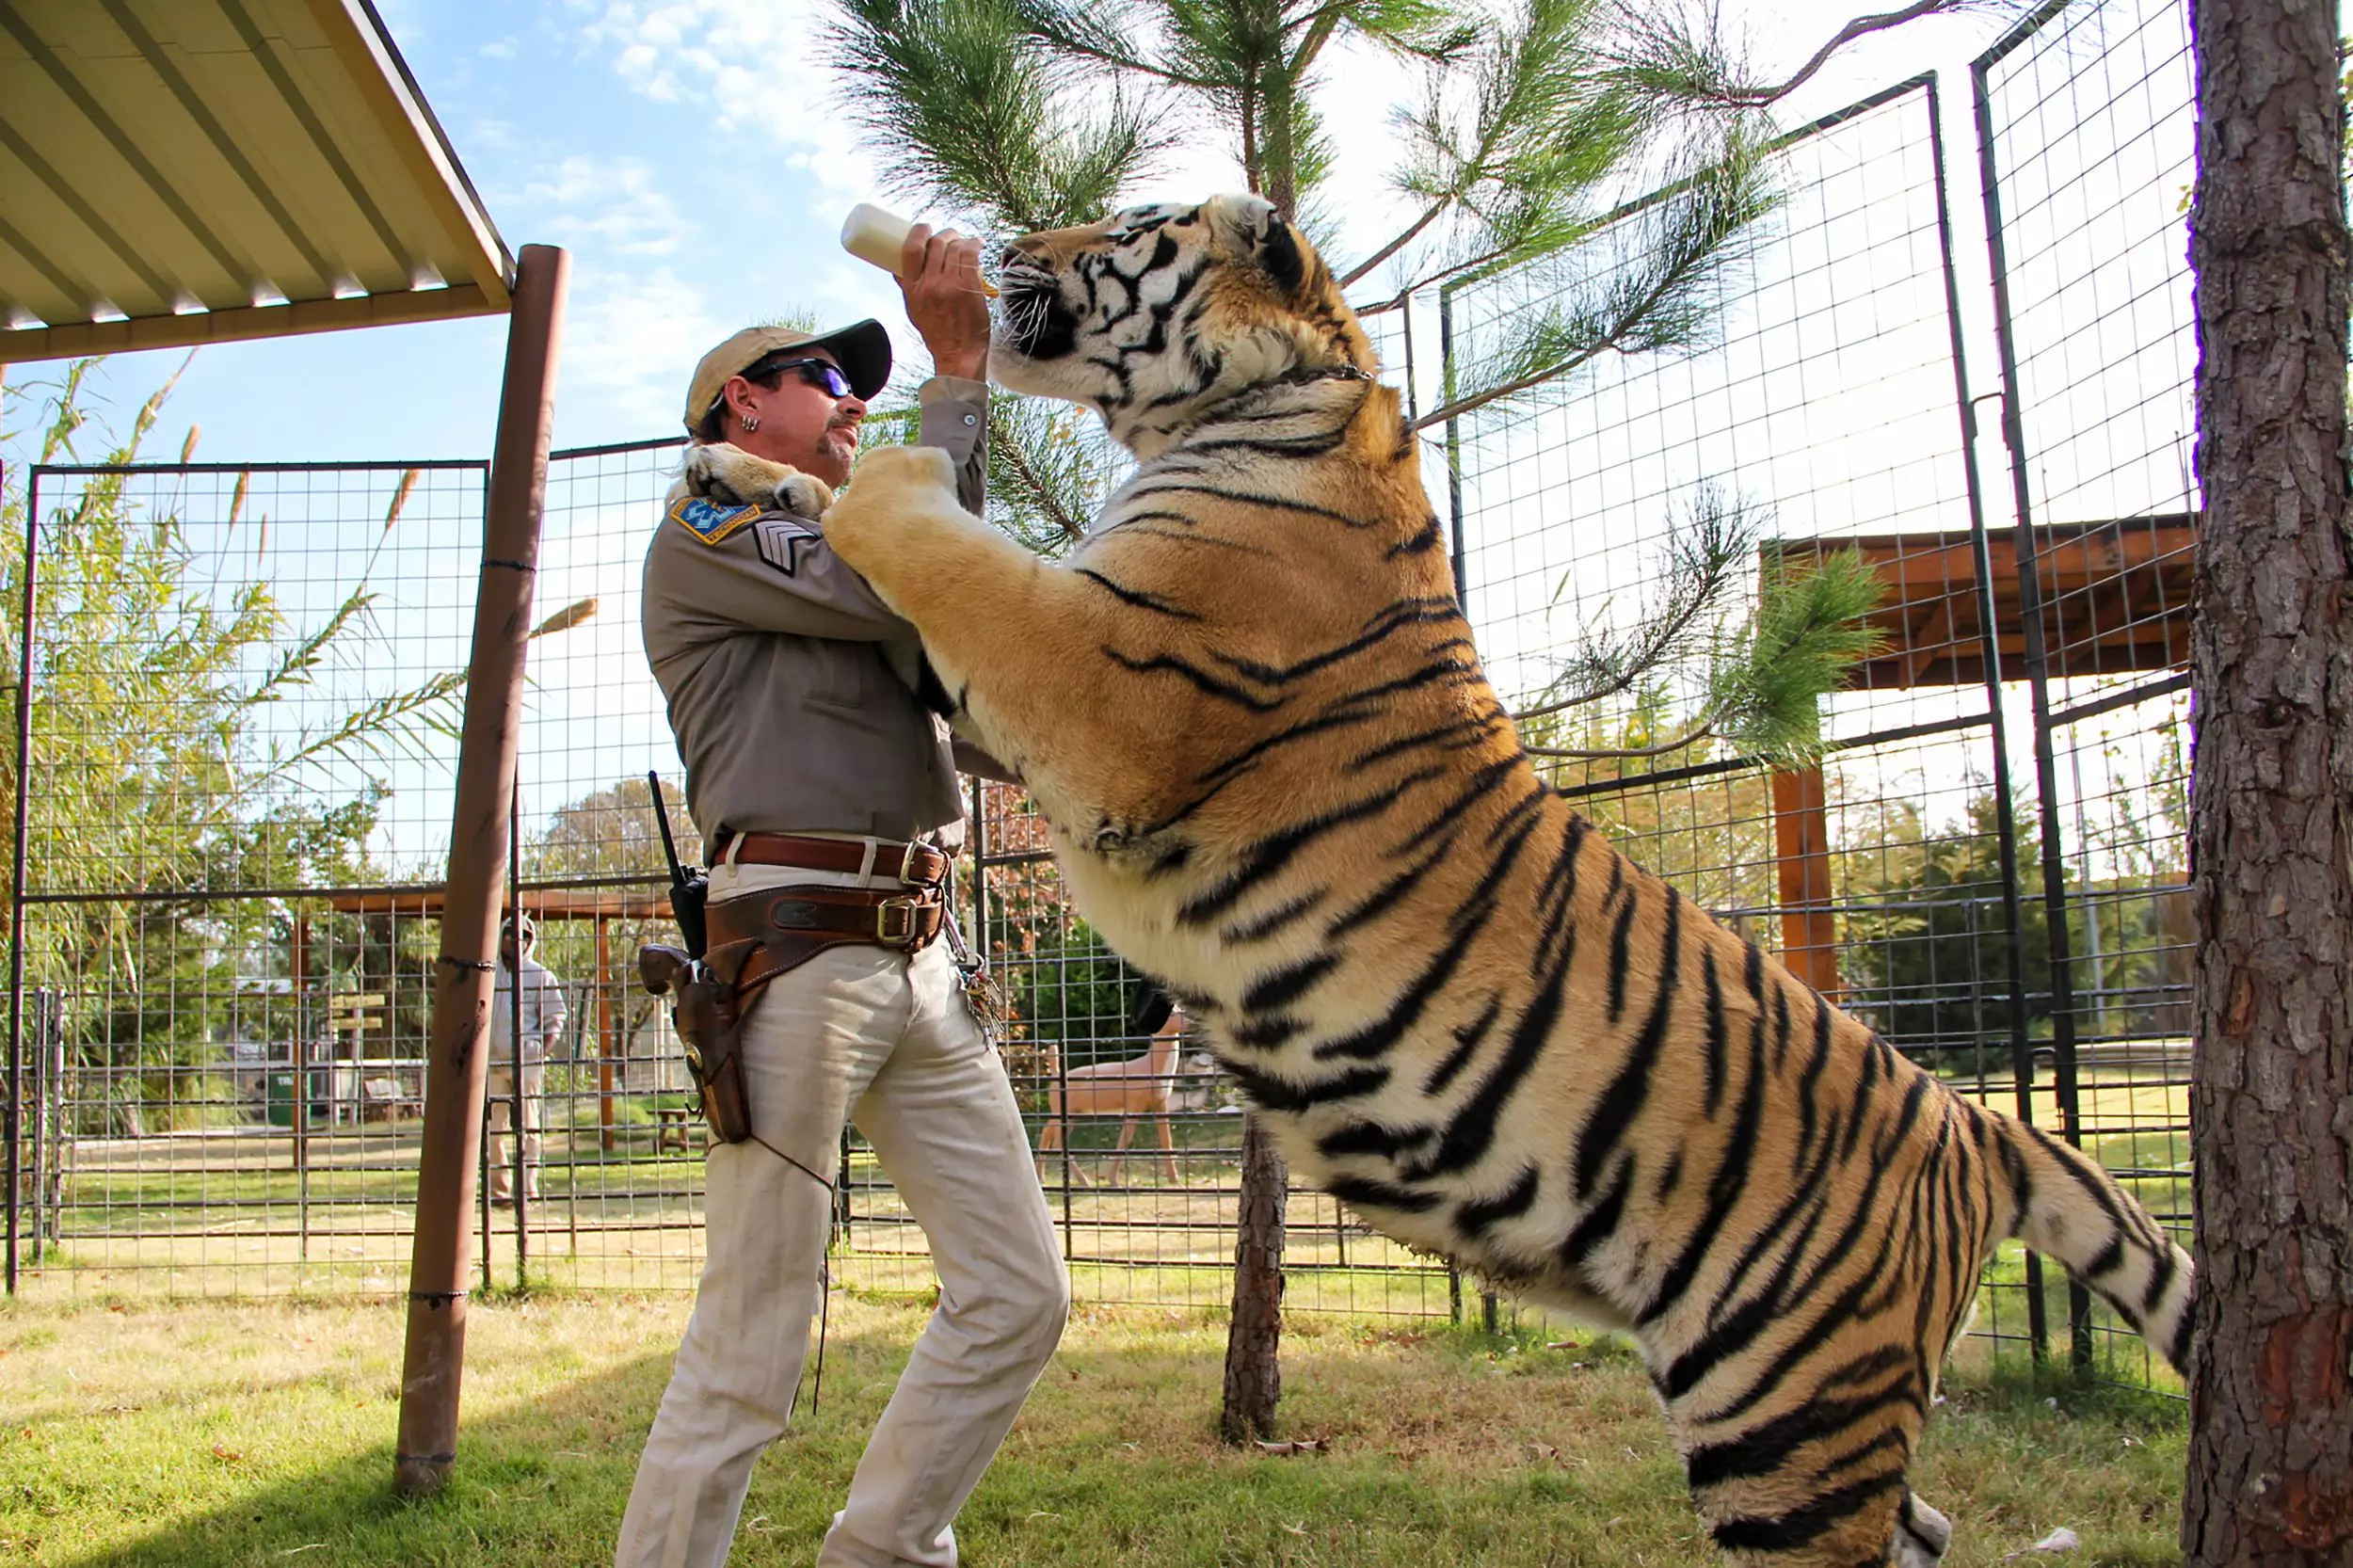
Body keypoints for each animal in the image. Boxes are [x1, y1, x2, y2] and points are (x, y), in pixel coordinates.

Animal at [706, 195, 2193, 1562]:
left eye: (1126, 224)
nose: (1004, 242)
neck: (1261, 401)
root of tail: (1971, 1124)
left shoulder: (1095, 679)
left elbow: (936, 540)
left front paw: (851, 469)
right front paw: (737, 465)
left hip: (1789, 1413)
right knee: (1926, 1526)